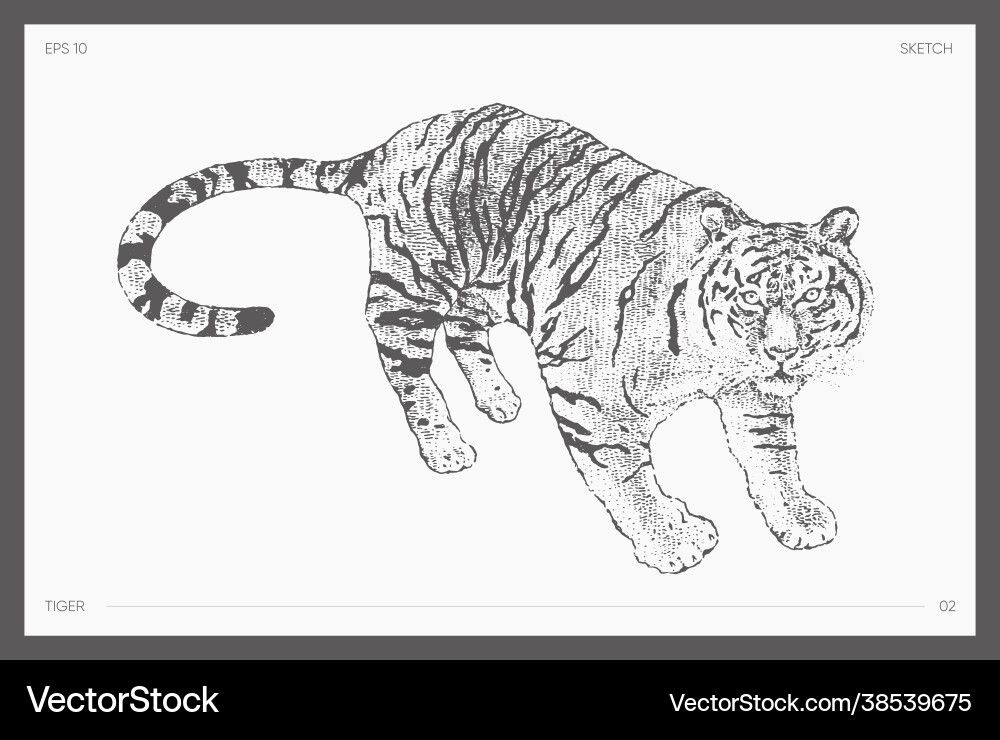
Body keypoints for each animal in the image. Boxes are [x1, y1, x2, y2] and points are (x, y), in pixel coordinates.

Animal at [117, 103, 873, 573]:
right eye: (750, 298)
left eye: (812, 297)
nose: (783, 352)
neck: (715, 360)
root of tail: (391, 143)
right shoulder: (588, 394)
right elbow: (626, 476)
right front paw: (670, 542)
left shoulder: (755, 396)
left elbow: (774, 459)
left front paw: (799, 516)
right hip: (409, 291)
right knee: (407, 373)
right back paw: (446, 445)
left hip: (485, 284)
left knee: (465, 334)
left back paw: (499, 398)